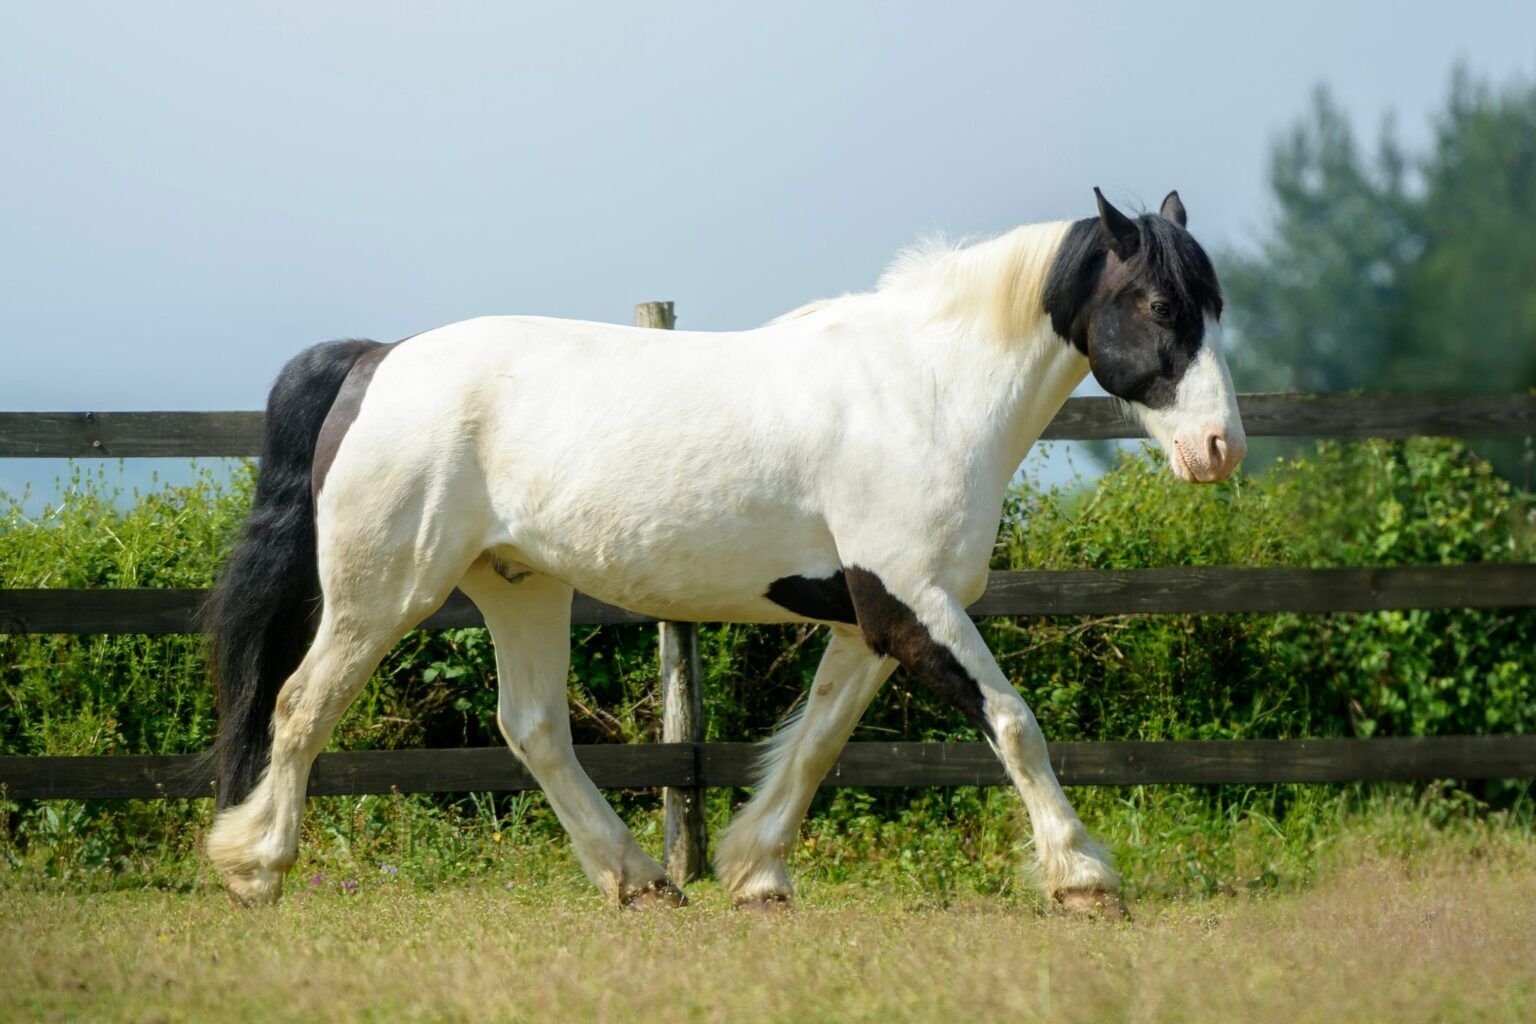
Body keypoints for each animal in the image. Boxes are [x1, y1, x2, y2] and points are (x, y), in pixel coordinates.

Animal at [202, 188, 1244, 915]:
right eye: (1159, 303)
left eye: (1215, 305)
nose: (1219, 447)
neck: (926, 390)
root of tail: (377, 359)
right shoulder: (913, 606)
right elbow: (1014, 722)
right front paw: (1084, 877)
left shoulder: (873, 623)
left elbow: (817, 743)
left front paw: (756, 874)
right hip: (381, 593)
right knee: (299, 706)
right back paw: (255, 868)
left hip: (519, 585)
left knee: (532, 728)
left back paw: (638, 880)